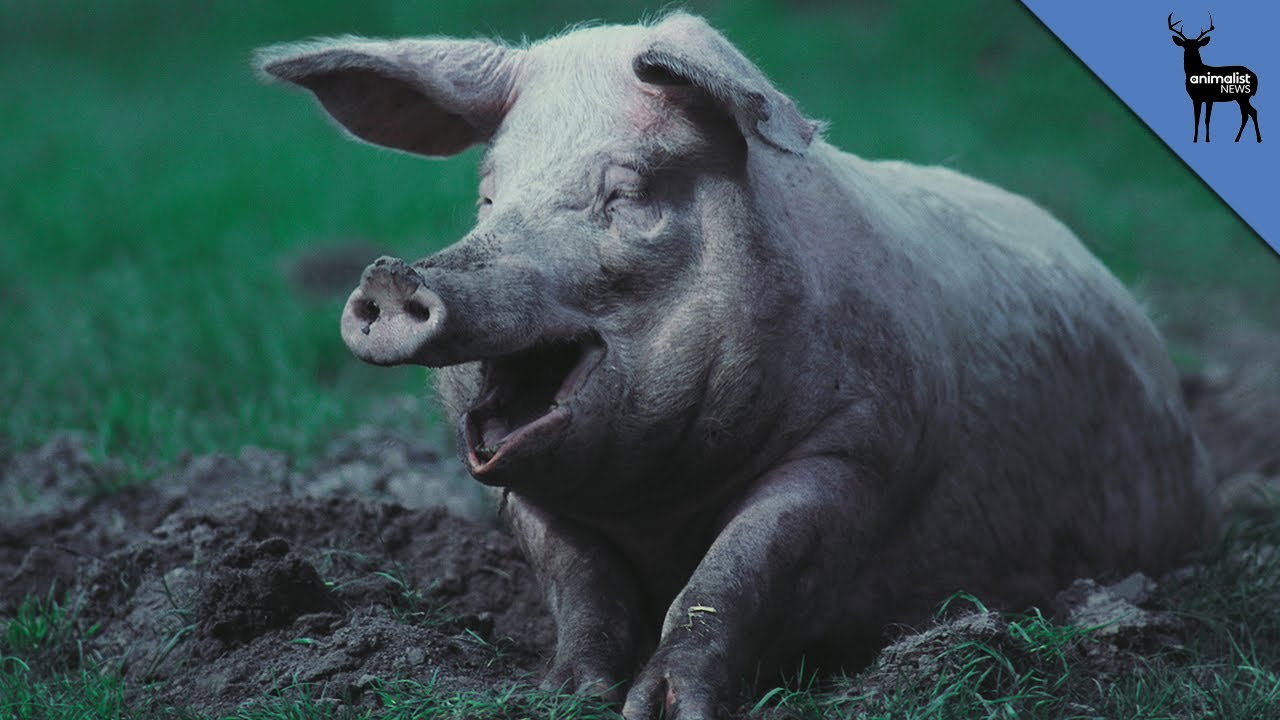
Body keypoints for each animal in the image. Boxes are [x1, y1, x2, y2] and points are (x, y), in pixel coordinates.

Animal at [258, 13, 1217, 719]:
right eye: (489, 195)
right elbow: (579, 580)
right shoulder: (523, 494)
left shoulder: (860, 447)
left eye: (624, 194)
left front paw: (663, 708)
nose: (393, 276)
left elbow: (742, 564)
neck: (657, 499)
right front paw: (562, 695)